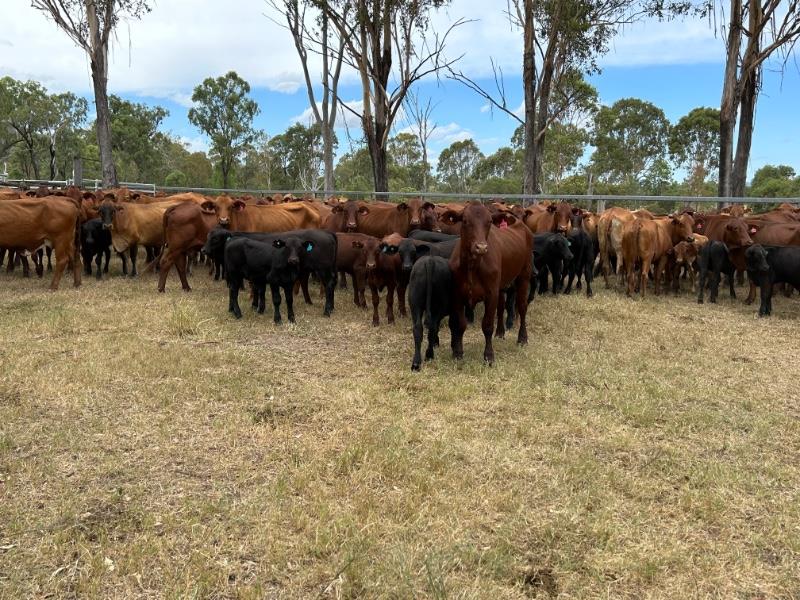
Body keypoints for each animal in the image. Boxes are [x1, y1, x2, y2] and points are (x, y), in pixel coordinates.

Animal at [444, 203, 533, 365]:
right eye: (465, 221)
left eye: (490, 222)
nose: (481, 247)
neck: (472, 266)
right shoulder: (457, 294)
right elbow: (459, 324)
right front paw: (458, 353)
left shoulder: (491, 293)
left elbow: (487, 325)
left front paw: (489, 356)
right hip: (501, 285)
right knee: (501, 307)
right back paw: (500, 332)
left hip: (524, 275)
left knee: (522, 306)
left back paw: (522, 338)